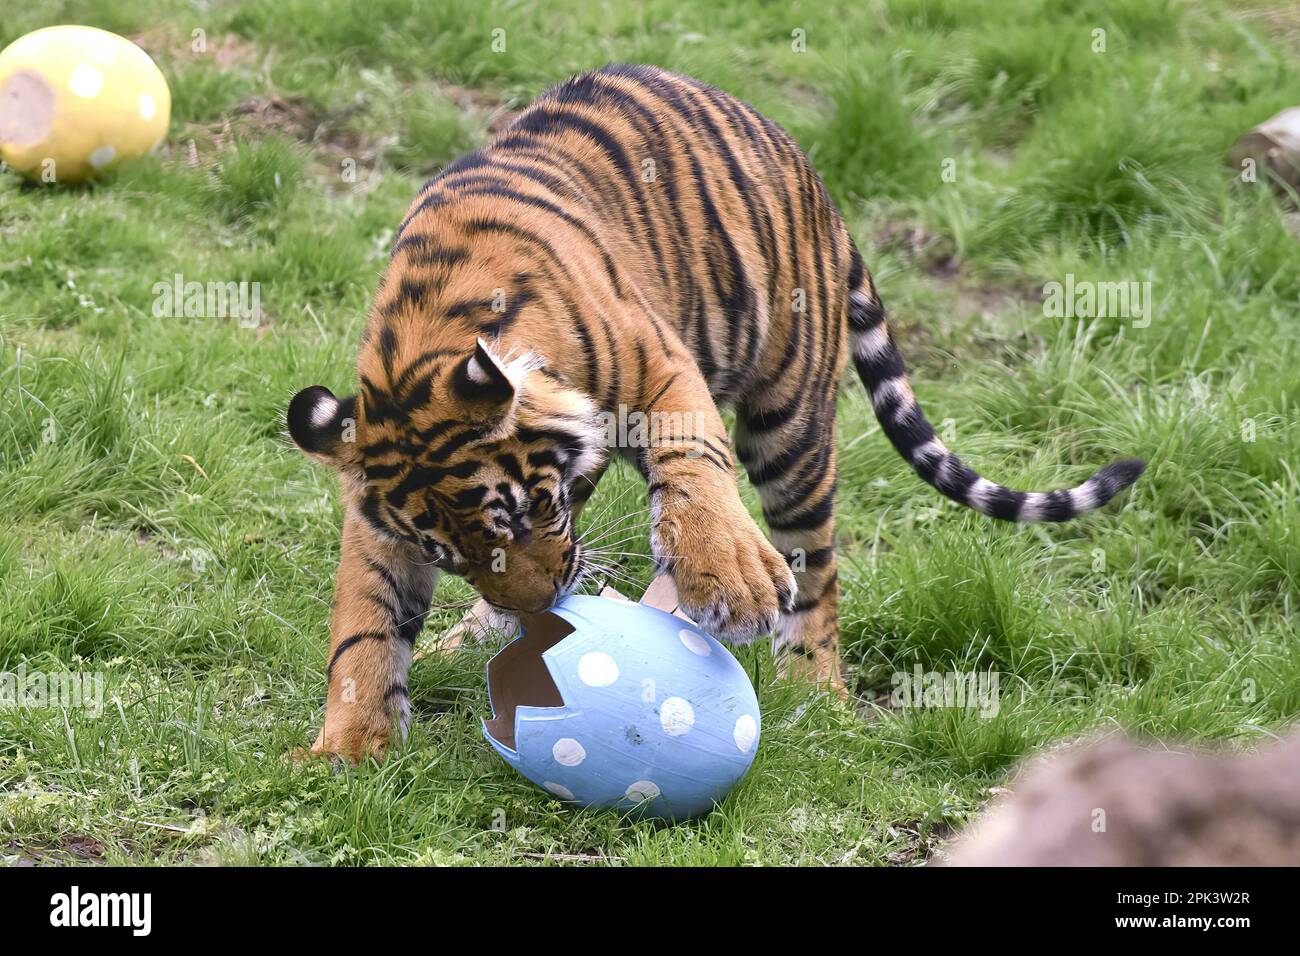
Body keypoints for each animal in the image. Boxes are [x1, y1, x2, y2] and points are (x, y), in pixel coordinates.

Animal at [287, 64, 1144, 763]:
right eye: (450, 552)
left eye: (527, 513)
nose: (538, 609)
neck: (424, 342)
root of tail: (815, 179)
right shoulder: (379, 511)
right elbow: (364, 621)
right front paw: (346, 748)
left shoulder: (662, 369)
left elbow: (694, 465)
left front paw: (729, 572)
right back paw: (467, 642)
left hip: (792, 423)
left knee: (818, 564)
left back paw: (815, 691)